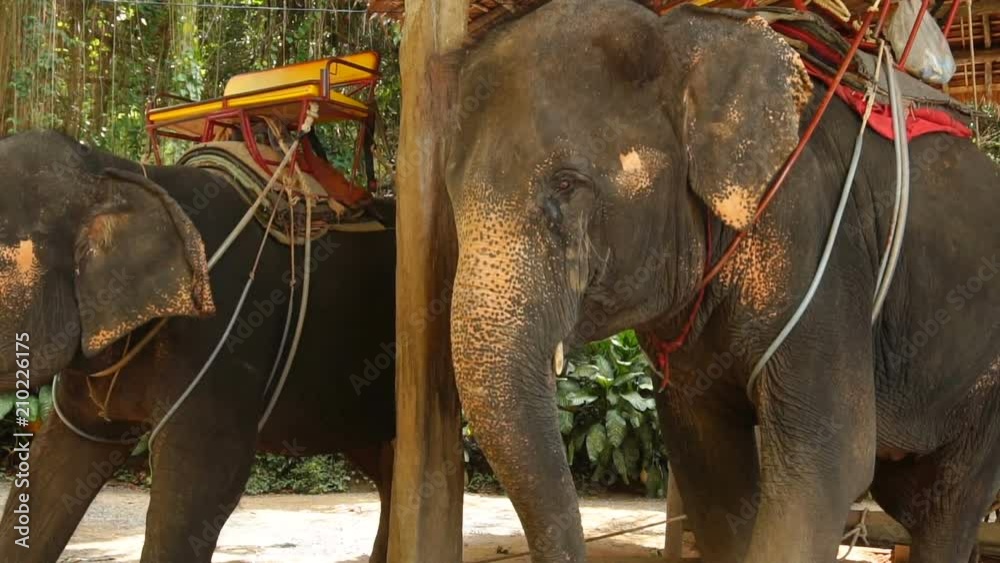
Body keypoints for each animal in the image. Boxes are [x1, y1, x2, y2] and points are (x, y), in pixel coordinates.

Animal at [444, 2, 1000, 562]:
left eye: (567, 184)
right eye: (449, 193)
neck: (688, 42)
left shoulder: (819, 241)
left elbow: (829, 462)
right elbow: (711, 470)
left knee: (947, 503)